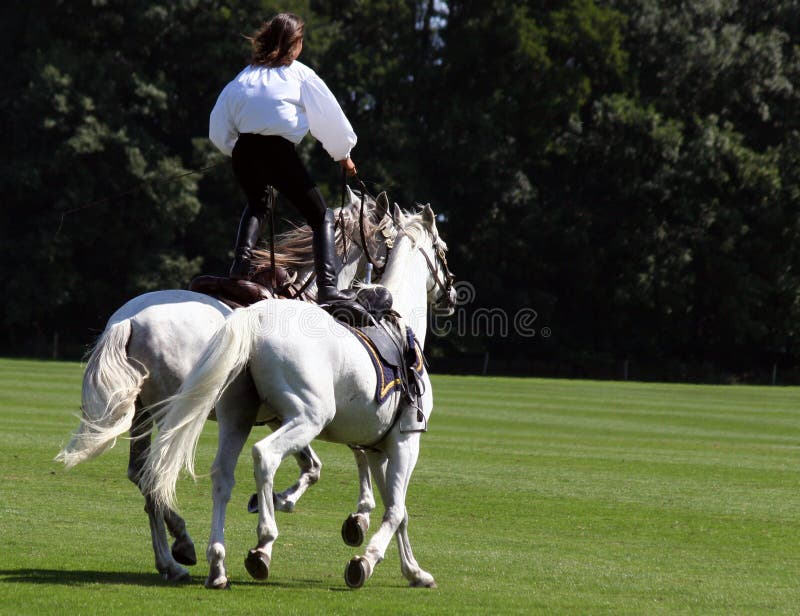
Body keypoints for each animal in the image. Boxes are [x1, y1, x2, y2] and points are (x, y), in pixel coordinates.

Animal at [56, 189, 394, 581]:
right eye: (387, 239)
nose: (381, 293)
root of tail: (127, 322)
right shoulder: (291, 413)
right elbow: (322, 463)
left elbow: (320, 462)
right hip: (170, 411)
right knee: (156, 471)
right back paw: (182, 543)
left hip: (142, 412)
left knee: (141, 472)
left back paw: (171, 558)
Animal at [142, 204, 456, 589]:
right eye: (443, 249)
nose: (453, 293)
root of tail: (255, 316)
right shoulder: (406, 441)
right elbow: (395, 510)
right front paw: (364, 560)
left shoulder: (378, 447)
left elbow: (398, 510)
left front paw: (414, 570)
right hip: (307, 417)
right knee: (264, 456)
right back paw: (261, 543)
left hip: (237, 417)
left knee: (220, 474)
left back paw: (216, 562)